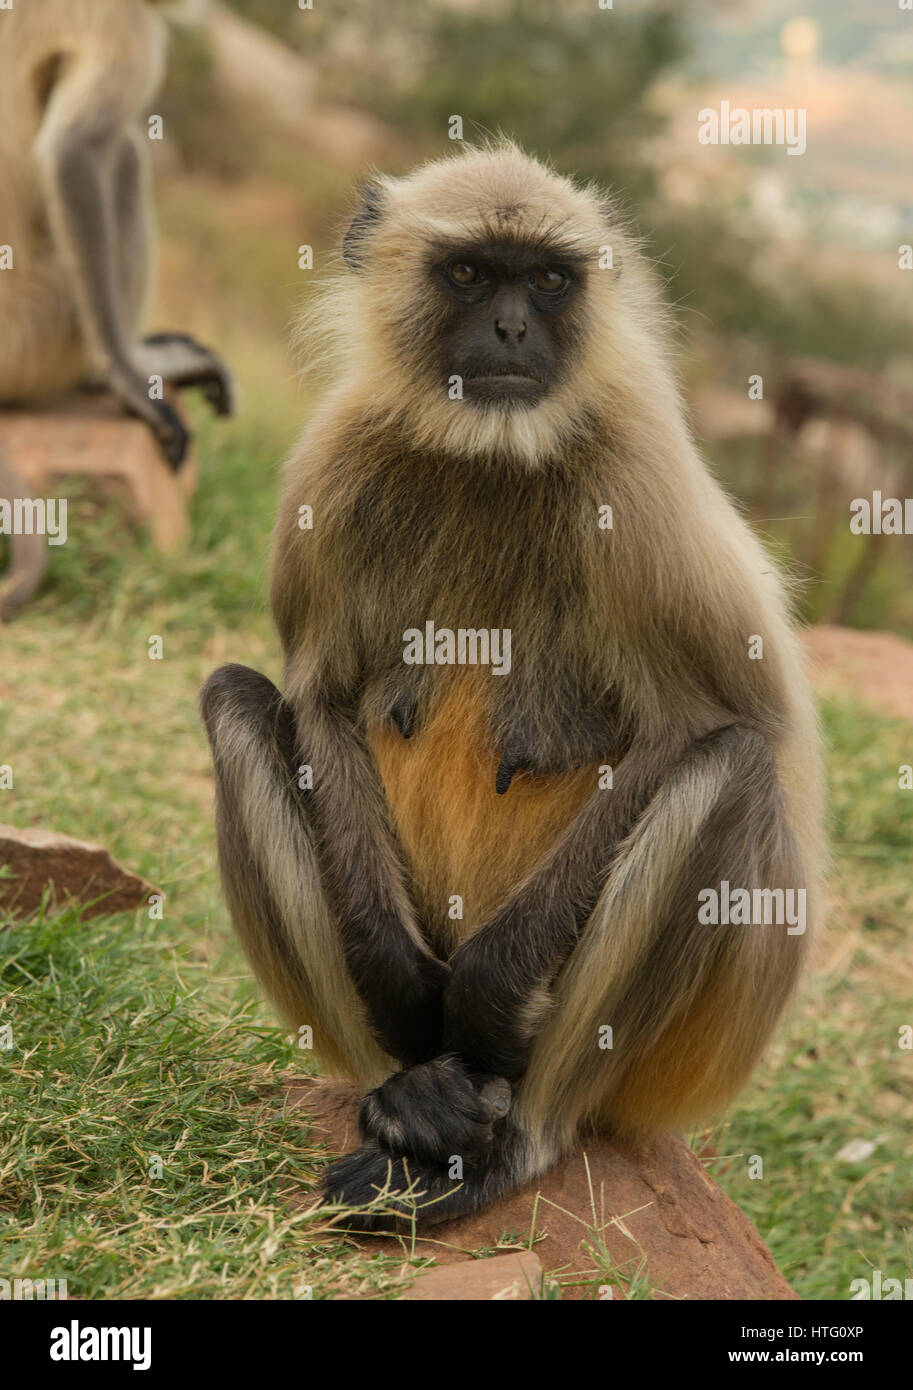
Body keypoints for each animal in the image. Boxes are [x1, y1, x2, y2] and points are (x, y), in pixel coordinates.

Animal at [200, 142, 824, 1231]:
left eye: (546, 280)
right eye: (467, 273)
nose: (509, 330)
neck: (488, 457)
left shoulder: (637, 474)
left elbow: (720, 721)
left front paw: (484, 994)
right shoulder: (337, 459)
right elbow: (320, 696)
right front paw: (402, 988)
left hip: (690, 1055)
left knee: (733, 770)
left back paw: (512, 1136)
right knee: (235, 702)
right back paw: (412, 1093)